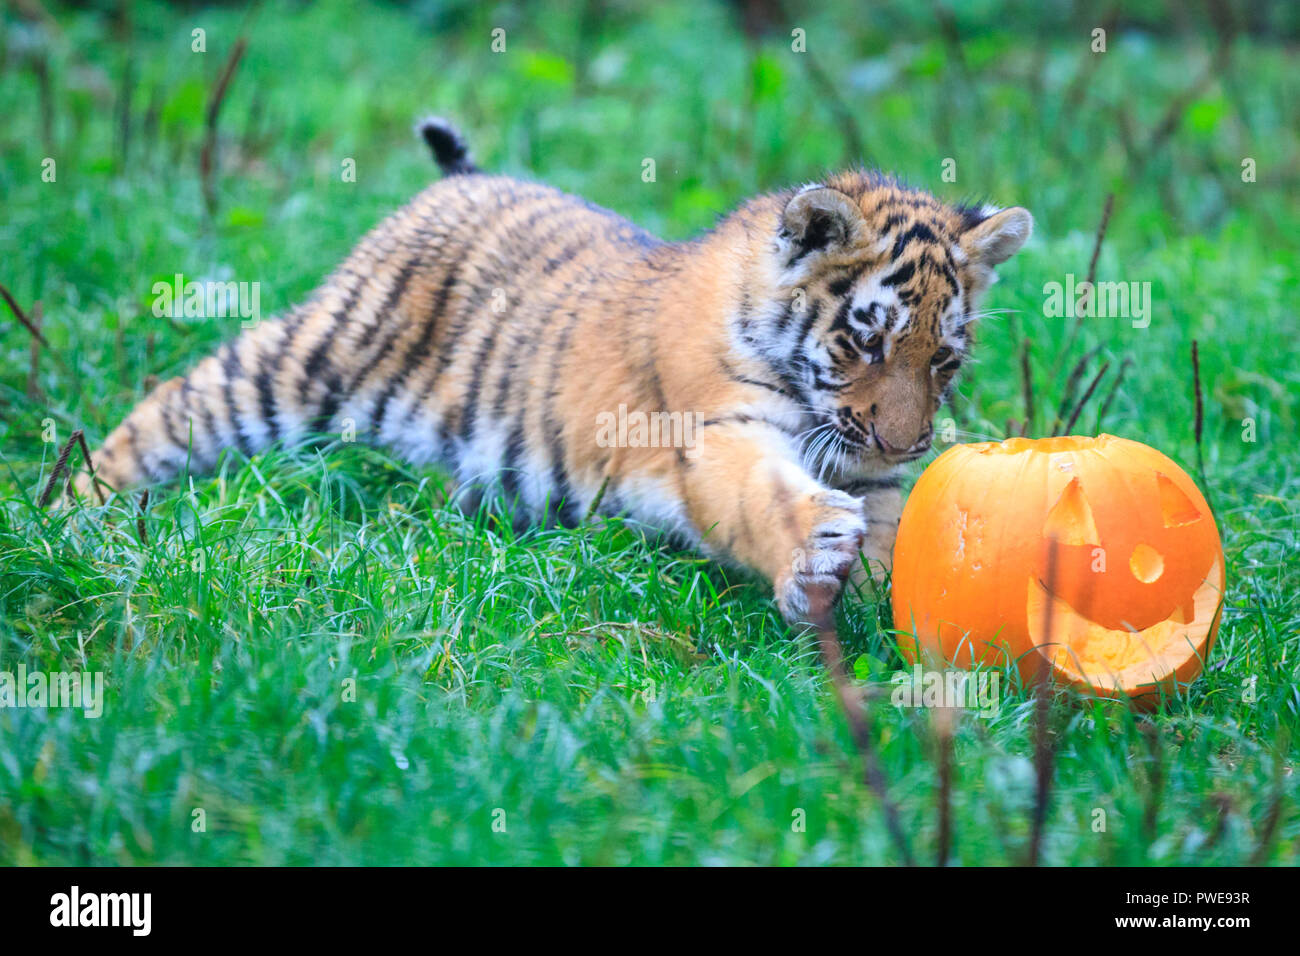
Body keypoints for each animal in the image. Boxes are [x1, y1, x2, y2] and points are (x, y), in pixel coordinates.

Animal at [76, 118, 1032, 625]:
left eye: (944, 359)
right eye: (866, 344)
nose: (907, 442)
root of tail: (461, 180)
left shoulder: (870, 469)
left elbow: (896, 528)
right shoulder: (710, 435)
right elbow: (763, 496)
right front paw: (812, 561)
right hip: (304, 362)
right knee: (174, 404)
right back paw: (73, 513)